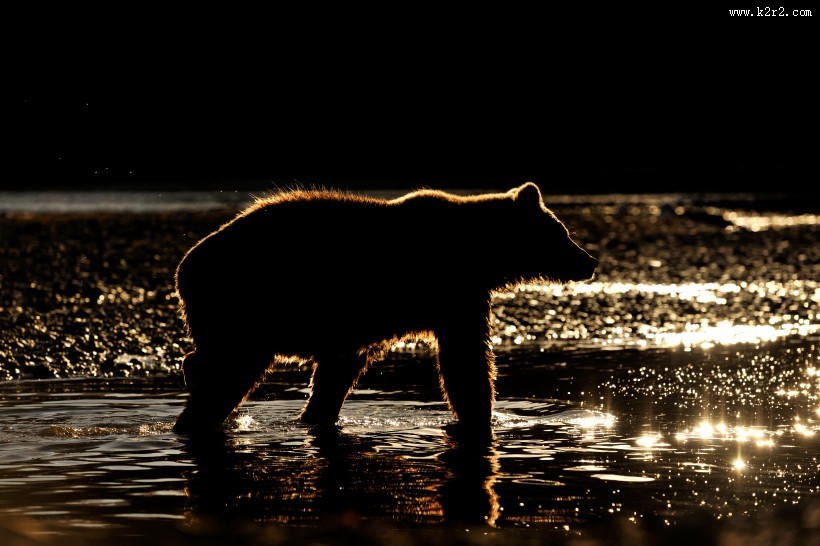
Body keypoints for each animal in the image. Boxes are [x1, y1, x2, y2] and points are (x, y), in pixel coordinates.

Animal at [172, 182, 597, 437]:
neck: (480, 252)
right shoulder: (454, 293)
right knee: (229, 370)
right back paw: (195, 415)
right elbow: (465, 360)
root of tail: (184, 267)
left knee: (211, 361)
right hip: (248, 305)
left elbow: (338, 371)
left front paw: (316, 414)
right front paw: (480, 415)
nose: (589, 261)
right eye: (562, 232)